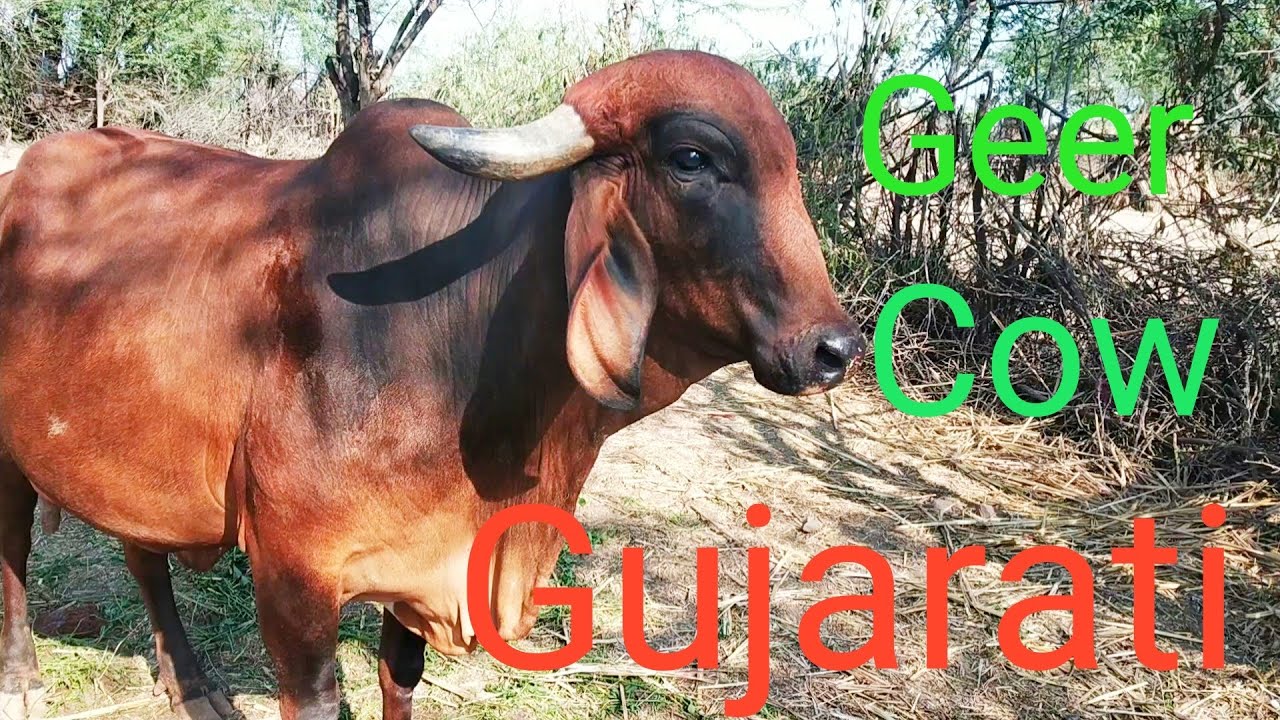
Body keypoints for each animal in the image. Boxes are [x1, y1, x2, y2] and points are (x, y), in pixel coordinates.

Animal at [0, 50, 864, 720]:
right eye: (692, 159)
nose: (836, 348)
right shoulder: (292, 574)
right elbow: (315, 697)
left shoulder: (423, 565)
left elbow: (400, 679)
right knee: (15, 550)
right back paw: (24, 681)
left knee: (141, 554)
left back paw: (192, 686)